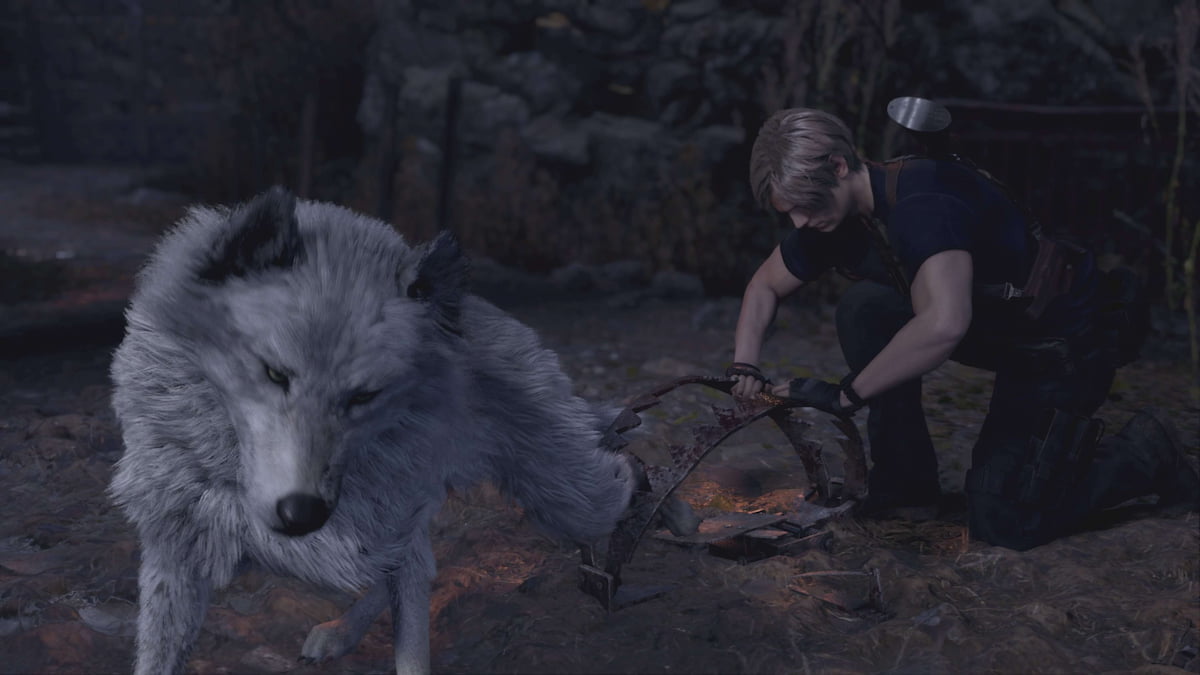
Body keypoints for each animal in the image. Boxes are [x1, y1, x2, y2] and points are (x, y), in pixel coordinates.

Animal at [107, 187, 635, 675]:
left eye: (362, 397)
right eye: (275, 373)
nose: (302, 513)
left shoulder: (390, 532)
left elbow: (412, 647)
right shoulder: (177, 552)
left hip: (573, 500)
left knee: (622, 472)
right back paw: (339, 632)